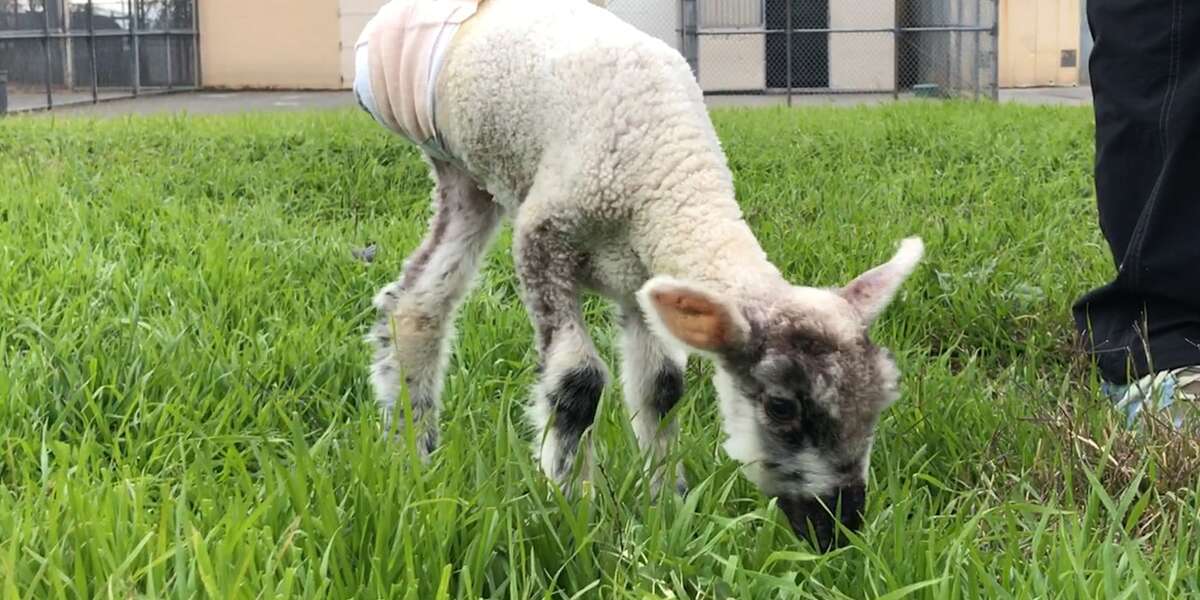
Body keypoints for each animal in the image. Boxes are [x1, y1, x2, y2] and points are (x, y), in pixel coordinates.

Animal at [356, 0, 924, 550]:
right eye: (781, 407)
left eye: (883, 398)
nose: (839, 530)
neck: (666, 163)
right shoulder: (544, 238)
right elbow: (576, 383)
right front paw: (571, 515)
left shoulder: (639, 278)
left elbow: (661, 387)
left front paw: (667, 504)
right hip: (458, 158)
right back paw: (415, 450)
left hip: (470, 180)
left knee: (416, 303)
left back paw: (410, 449)